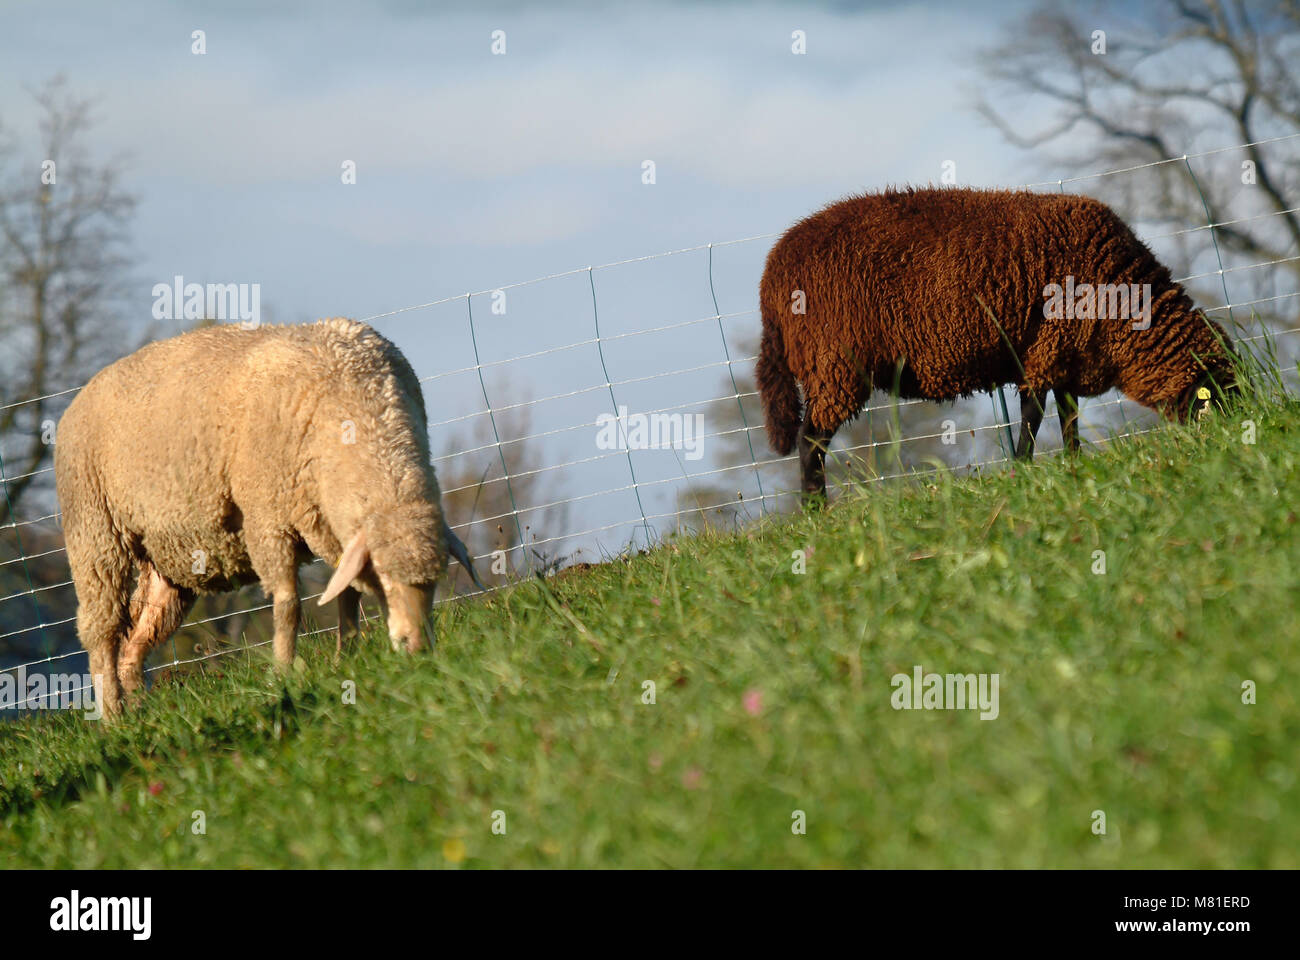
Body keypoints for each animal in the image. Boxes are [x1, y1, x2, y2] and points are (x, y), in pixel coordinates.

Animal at [54, 317, 483, 718]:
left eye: (435, 582)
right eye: (388, 578)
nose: (418, 650)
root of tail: (78, 399)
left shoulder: (329, 525)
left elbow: (346, 594)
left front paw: (347, 658)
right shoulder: (266, 519)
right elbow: (289, 605)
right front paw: (283, 673)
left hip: (170, 561)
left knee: (138, 635)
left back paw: (140, 706)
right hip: (94, 531)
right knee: (101, 630)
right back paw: (112, 715)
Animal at [756, 187, 1238, 500]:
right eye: (1222, 390)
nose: (1239, 440)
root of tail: (771, 276)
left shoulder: (1063, 356)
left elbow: (1068, 419)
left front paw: (1074, 465)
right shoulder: (1045, 351)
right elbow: (1032, 417)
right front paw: (1023, 469)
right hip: (834, 365)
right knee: (810, 443)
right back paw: (816, 513)